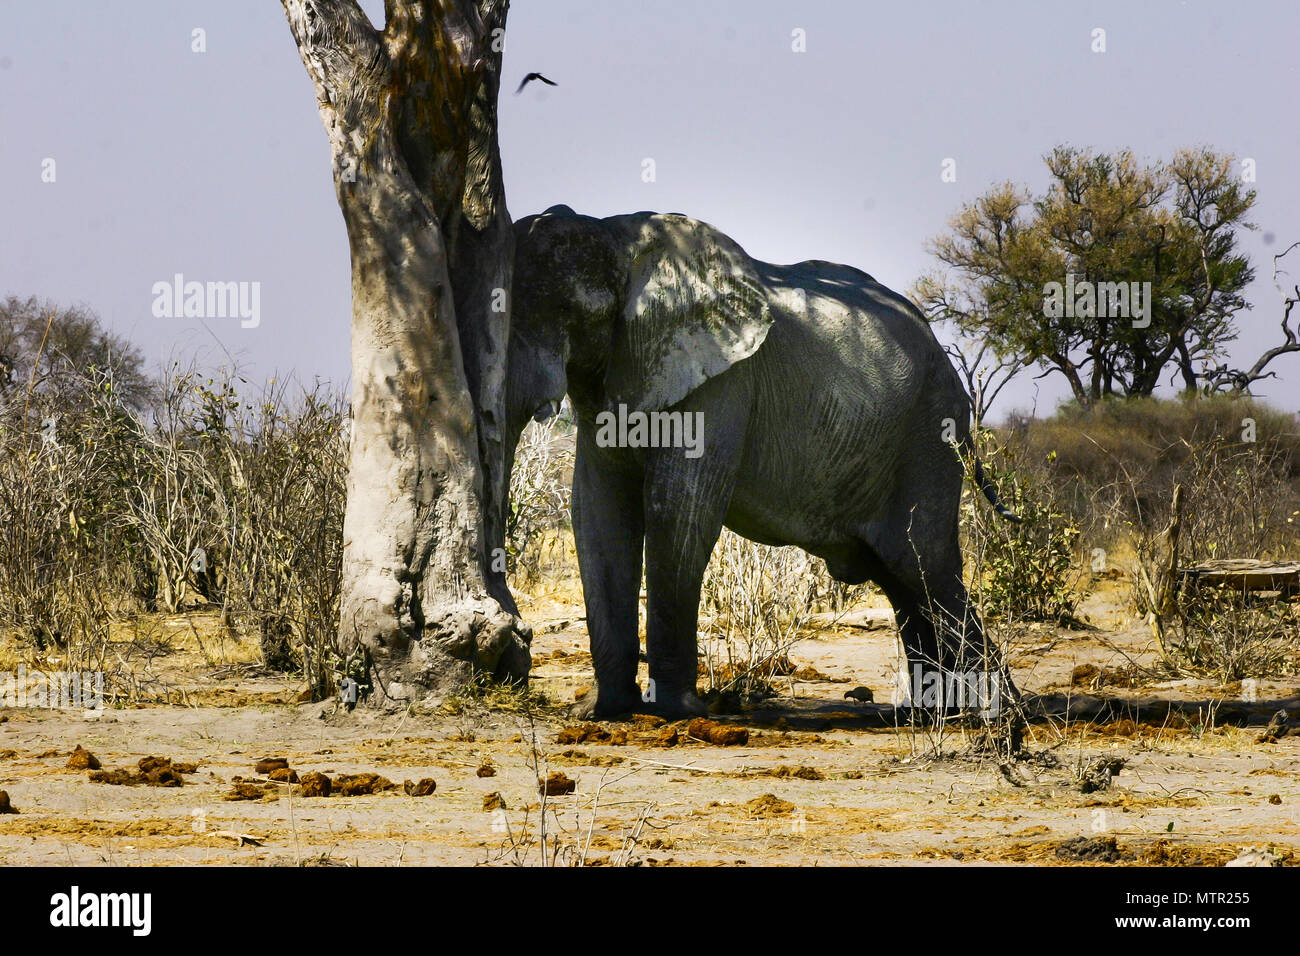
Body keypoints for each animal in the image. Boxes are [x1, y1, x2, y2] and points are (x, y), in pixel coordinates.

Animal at [504, 204, 1019, 720]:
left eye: (569, 312)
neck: (617, 235)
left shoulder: (723, 382)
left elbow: (678, 514)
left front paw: (679, 712)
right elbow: (598, 515)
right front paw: (600, 711)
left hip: (930, 435)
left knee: (927, 567)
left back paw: (998, 715)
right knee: (903, 580)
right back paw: (928, 715)